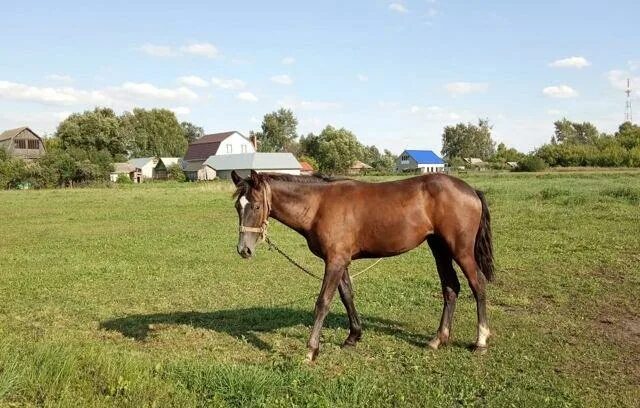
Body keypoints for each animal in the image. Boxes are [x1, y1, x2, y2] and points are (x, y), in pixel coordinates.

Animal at [231, 171, 496, 362]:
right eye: (237, 207)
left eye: (256, 206)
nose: (244, 250)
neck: (319, 206)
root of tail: (471, 190)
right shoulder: (340, 261)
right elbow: (347, 296)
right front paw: (353, 336)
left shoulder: (335, 261)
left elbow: (323, 302)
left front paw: (311, 350)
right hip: (439, 248)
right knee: (450, 288)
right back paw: (438, 339)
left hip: (461, 250)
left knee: (478, 286)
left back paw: (481, 341)